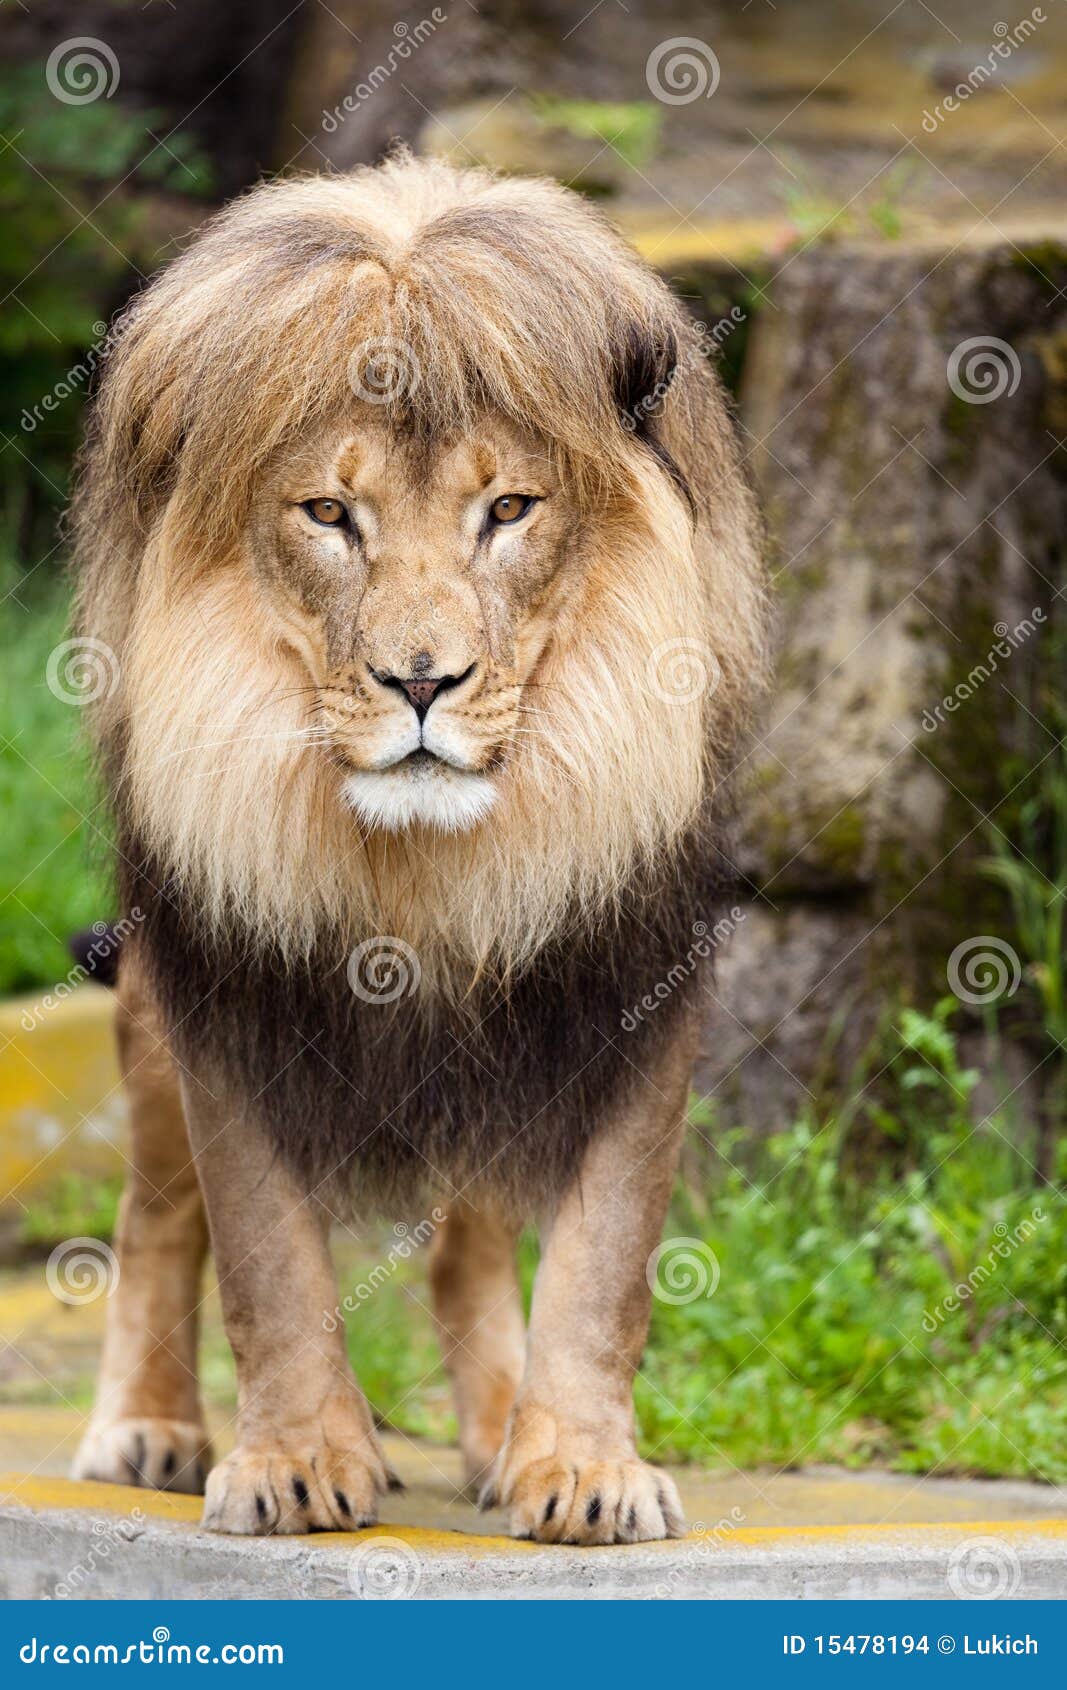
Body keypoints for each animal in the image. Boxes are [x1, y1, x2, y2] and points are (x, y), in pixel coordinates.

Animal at [69, 153, 767, 1545]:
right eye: (330, 514)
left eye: (507, 509)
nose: (422, 680)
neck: (422, 874)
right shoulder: (232, 989)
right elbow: (266, 1262)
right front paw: (294, 1462)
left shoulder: (627, 983)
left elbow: (602, 1266)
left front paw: (582, 1470)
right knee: (157, 1208)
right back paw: (147, 1424)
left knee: (471, 1239)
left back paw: (498, 1430)